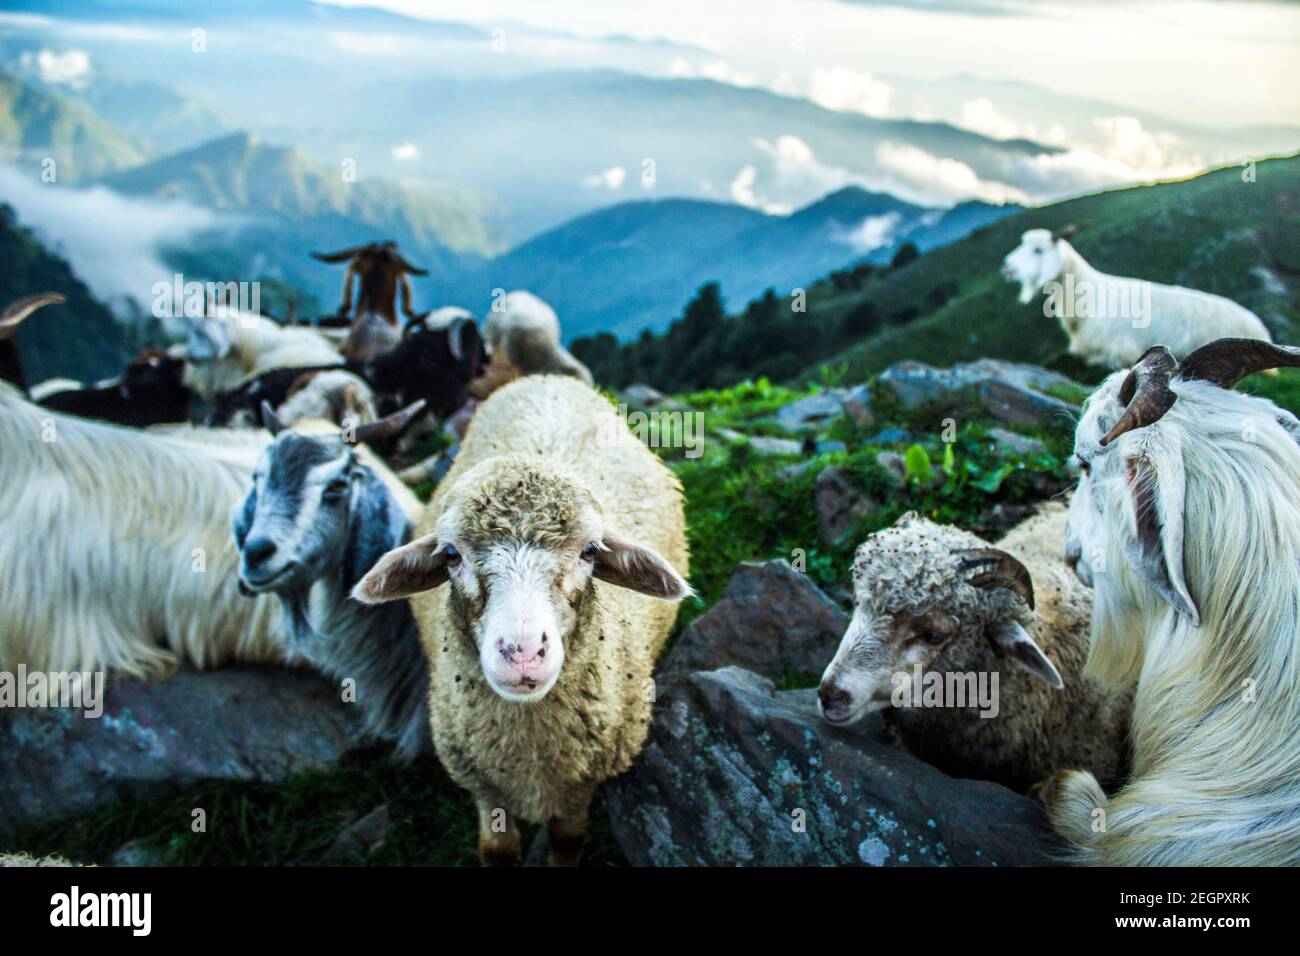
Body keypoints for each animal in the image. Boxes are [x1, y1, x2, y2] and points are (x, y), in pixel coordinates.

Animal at [353, 374, 691, 866]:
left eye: (590, 551)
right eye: (451, 554)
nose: (523, 653)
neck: (530, 752)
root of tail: (543, 378)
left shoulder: (583, 782)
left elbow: (567, 839)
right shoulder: (480, 779)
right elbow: (497, 849)